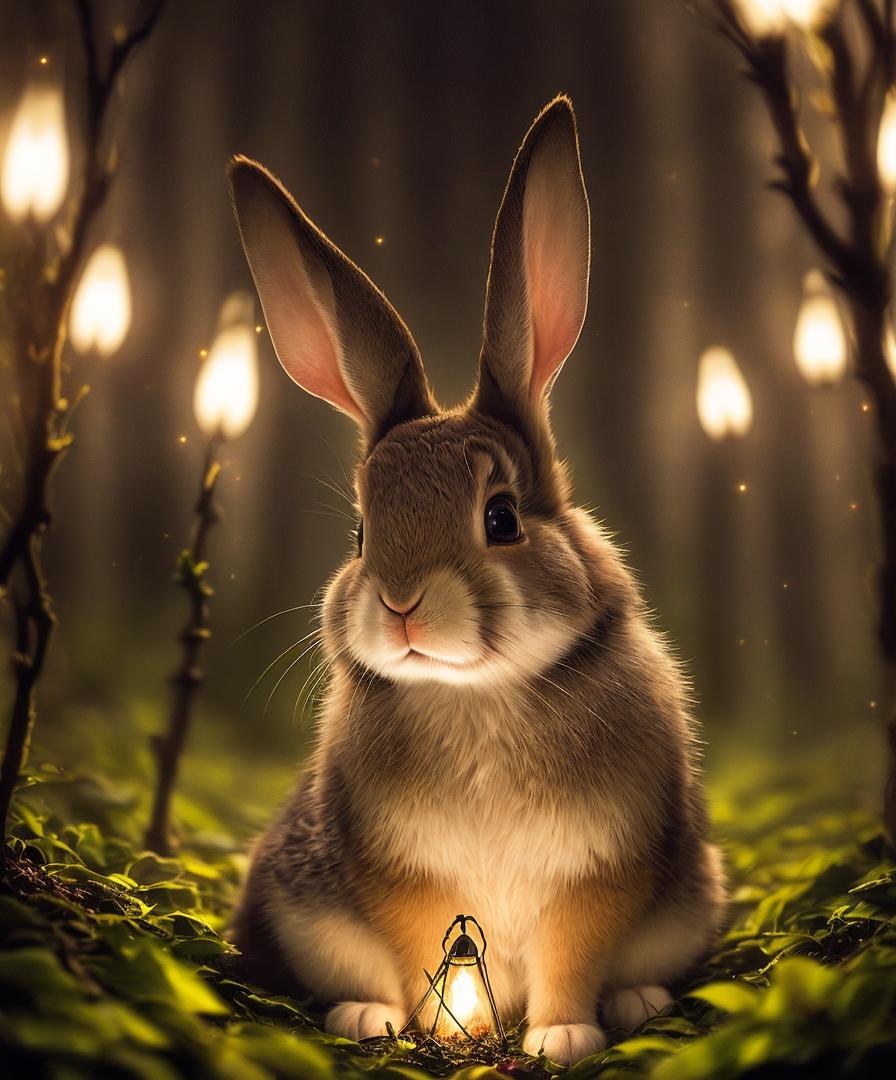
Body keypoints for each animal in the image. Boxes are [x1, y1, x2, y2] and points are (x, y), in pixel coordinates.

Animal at [227, 96, 726, 1067]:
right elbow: (424, 944)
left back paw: (637, 1000)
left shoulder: (599, 873)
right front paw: (441, 1031)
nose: (399, 604)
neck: (477, 693)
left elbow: (573, 951)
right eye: (361, 533)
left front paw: (560, 1036)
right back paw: (365, 1016)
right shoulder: (400, 877)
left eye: (500, 518)